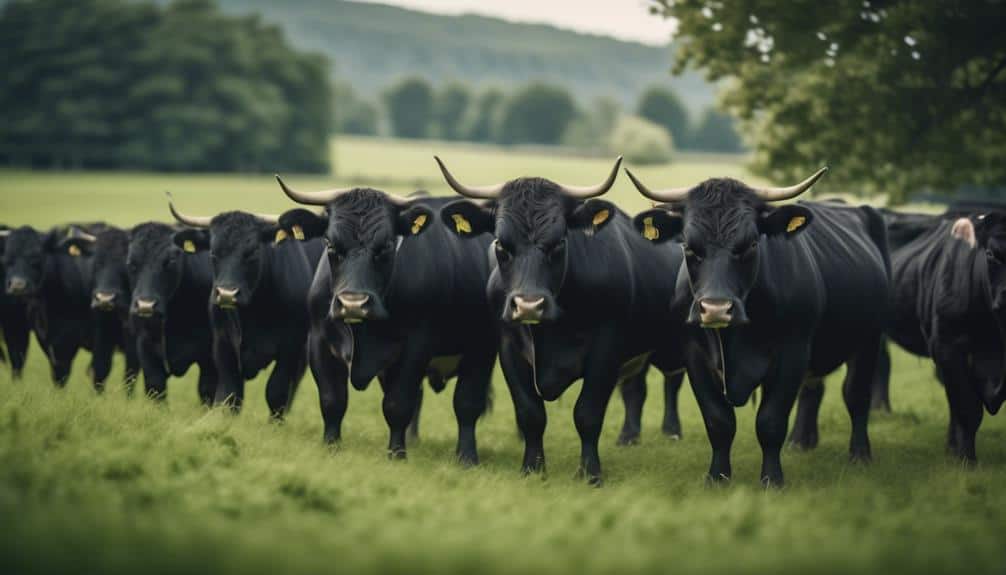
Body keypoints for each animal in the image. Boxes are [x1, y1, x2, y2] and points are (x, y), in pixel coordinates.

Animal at [127, 222, 216, 402]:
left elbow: (207, 390)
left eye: (170, 261)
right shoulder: (145, 349)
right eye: (132, 263)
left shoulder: (210, 359)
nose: (145, 305)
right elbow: (156, 388)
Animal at [167, 200, 324, 419]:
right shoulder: (224, 346)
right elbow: (229, 394)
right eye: (213, 253)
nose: (226, 294)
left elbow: (277, 392)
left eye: (253, 252)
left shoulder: (290, 347)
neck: (253, 314)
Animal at [273, 177, 498, 466]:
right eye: (330, 244)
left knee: (467, 404)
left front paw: (396, 454)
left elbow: (397, 404)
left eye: (387, 245)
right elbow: (332, 400)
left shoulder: (415, 347)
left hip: (481, 351)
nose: (353, 303)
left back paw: (467, 457)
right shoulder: (320, 343)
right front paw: (331, 447)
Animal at [434, 156, 691, 485]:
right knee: (635, 389)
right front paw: (532, 469)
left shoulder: (605, 350)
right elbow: (530, 414)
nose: (528, 305)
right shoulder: (509, 351)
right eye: (501, 244)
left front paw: (590, 474)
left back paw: (672, 431)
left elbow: (587, 414)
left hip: (672, 347)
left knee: (672, 382)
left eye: (558, 243)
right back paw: (628, 437)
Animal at [626, 168, 891, 486]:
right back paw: (800, 443)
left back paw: (860, 455)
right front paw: (717, 477)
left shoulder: (792, 353)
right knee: (812, 390)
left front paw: (772, 480)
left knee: (856, 395)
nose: (715, 308)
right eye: (688, 246)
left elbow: (770, 421)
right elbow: (718, 421)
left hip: (869, 339)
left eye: (751, 244)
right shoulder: (695, 358)